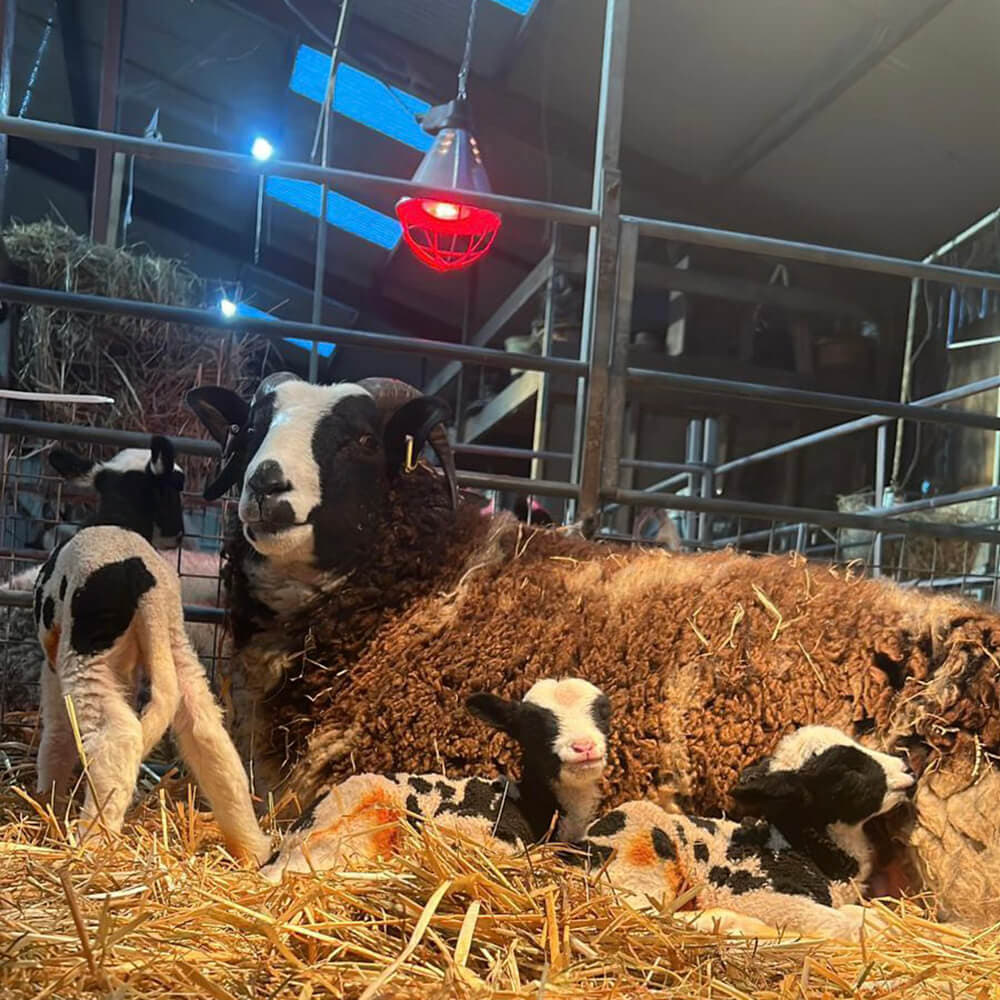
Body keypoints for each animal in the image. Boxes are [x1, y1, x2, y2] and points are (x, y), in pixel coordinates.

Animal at [34, 434, 269, 862]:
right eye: (176, 485)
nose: (177, 533)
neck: (120, 518)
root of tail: (146, 583)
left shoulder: (53, 656)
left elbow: (57, 730)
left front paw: (49, 796)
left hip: (87, 652)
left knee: (117, 737)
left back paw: (92, 847)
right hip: (177, 647)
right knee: (207, 733)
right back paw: (251, 846)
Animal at [576, 725, 915, 942]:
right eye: (848, 772)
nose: (908, 768)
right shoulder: (754, 892)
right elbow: (833, 922)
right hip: (642, 859)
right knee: (645, 914)